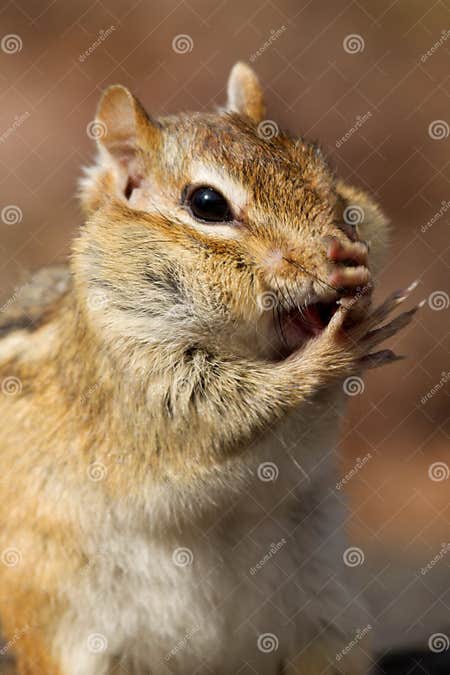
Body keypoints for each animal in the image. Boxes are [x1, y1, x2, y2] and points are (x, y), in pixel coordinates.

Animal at [0, 62, 420, 675]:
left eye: (326, 175)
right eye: (207, 204)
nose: (339, 251)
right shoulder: (143, 374)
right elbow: (220, 411)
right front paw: (333, 350)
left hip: (329, 627)